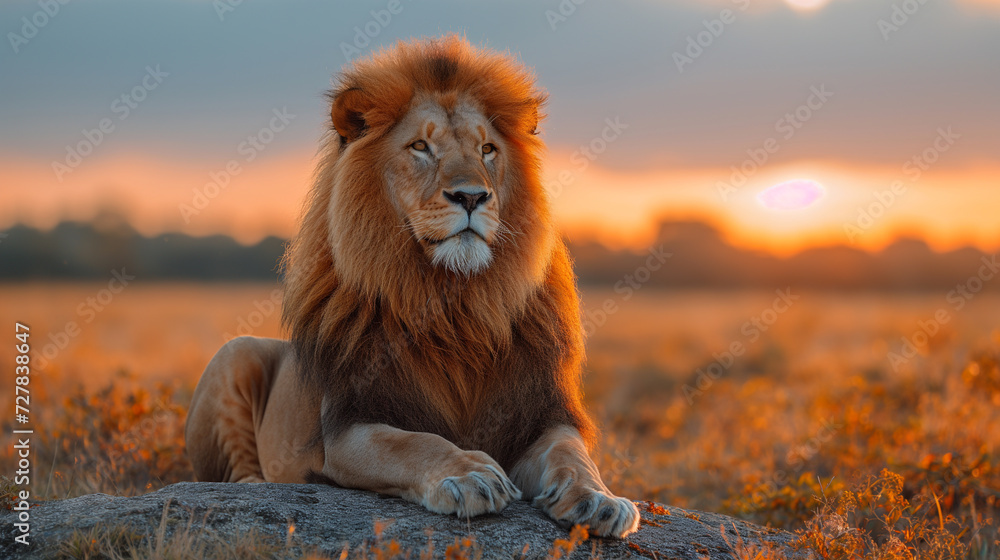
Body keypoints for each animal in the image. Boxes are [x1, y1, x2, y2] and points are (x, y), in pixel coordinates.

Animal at [184, 35, 640, 538]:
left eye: (487, 149)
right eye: (421, 146)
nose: (471, 197)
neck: (456, 303)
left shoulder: (541, 414)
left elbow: (572, 454)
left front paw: (600, 499)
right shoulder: (351, 427)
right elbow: (417, 442)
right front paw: (469, 475)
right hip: (236, 352)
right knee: (236, 477)